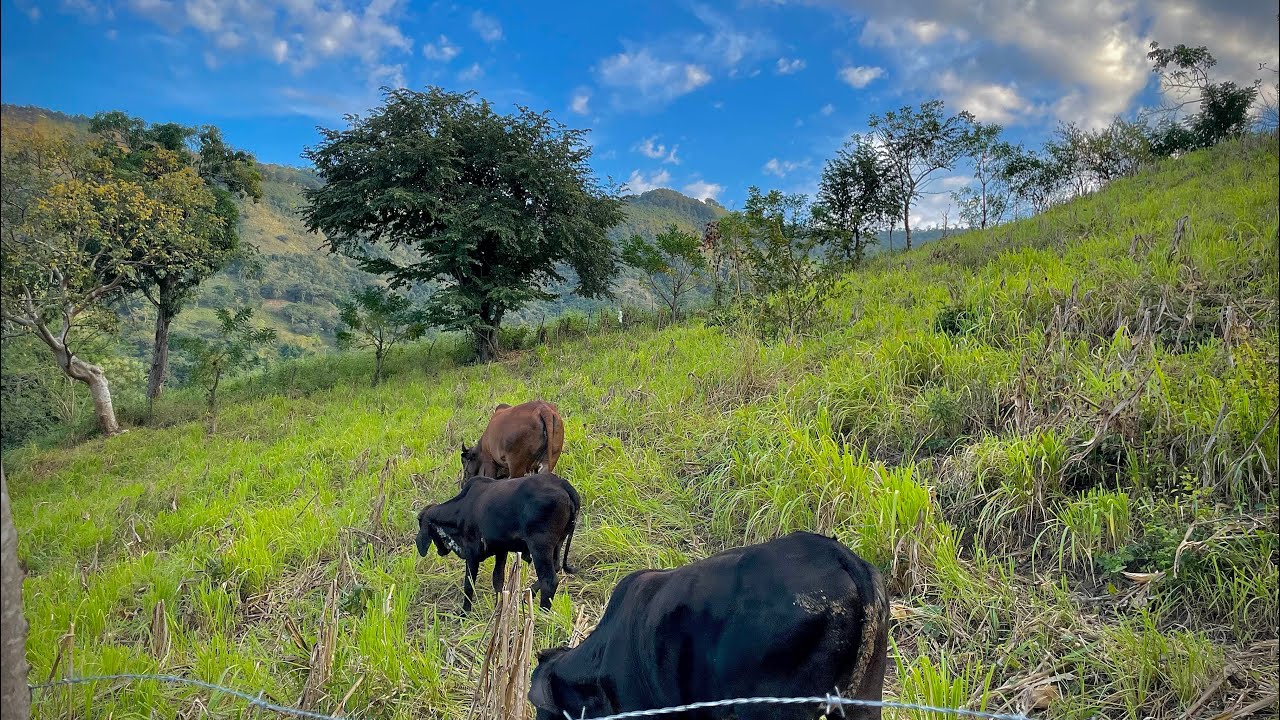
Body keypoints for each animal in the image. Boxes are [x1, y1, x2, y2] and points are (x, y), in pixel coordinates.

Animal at [416, 473, 580, 613]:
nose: (441, 551)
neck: (460, 509)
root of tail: (562, 483)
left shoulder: (471, 553)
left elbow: (469, 584)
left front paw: (464, 612)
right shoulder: (501, 550)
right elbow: (498, 581)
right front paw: (498, 609)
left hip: (540, 547)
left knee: (549, 581)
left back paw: (542, 614)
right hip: (557, 544)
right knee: (556, 567)